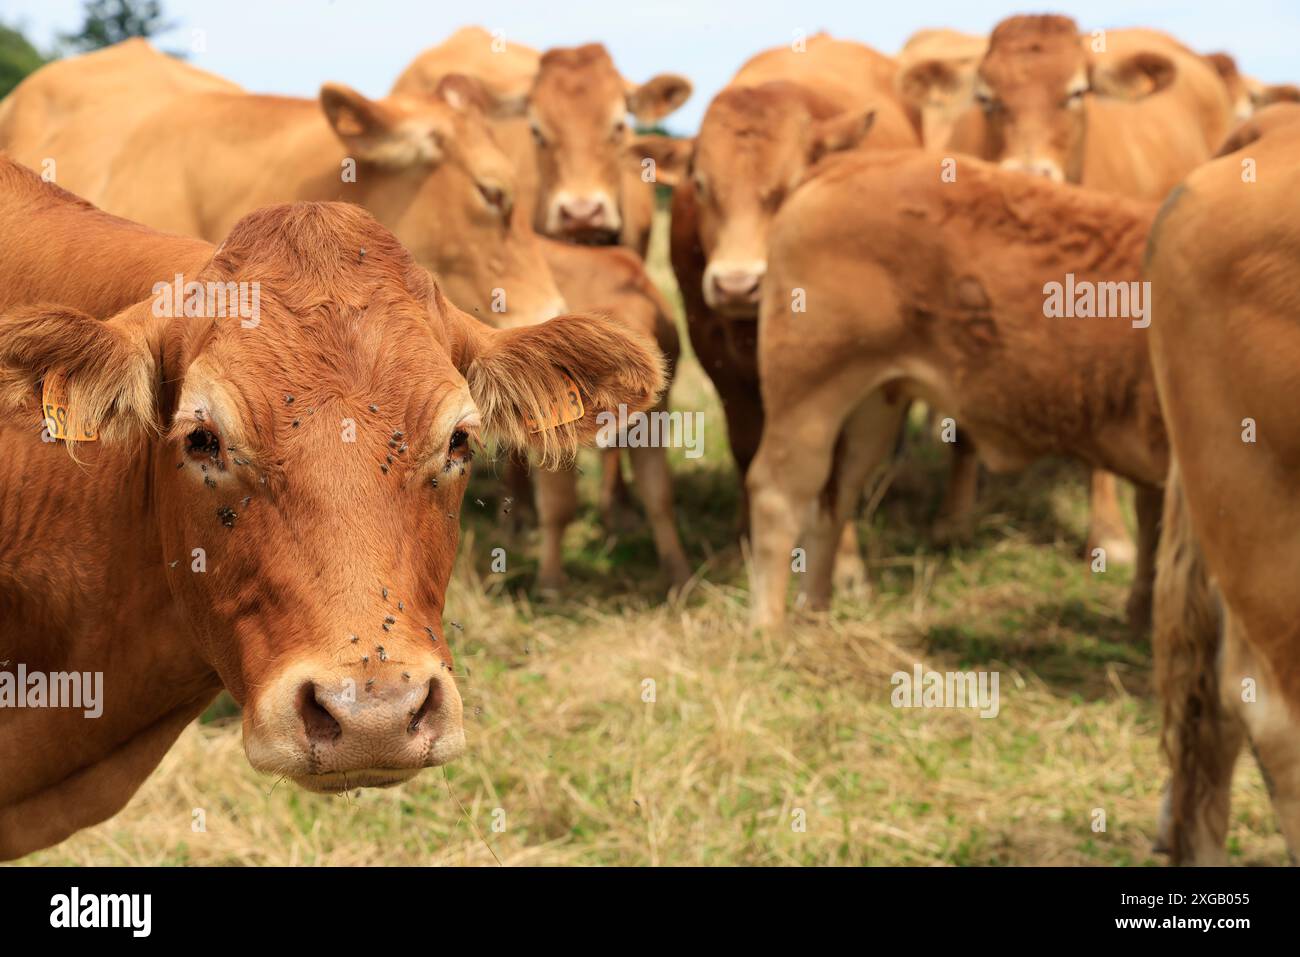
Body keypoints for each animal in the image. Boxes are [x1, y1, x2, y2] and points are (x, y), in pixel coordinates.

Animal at [745, 150, 1166, 630]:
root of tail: (847, 162)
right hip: (808, 393)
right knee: (779, 492)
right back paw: (768, 627)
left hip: (873, 407)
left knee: (835, 498)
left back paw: (815, 613)